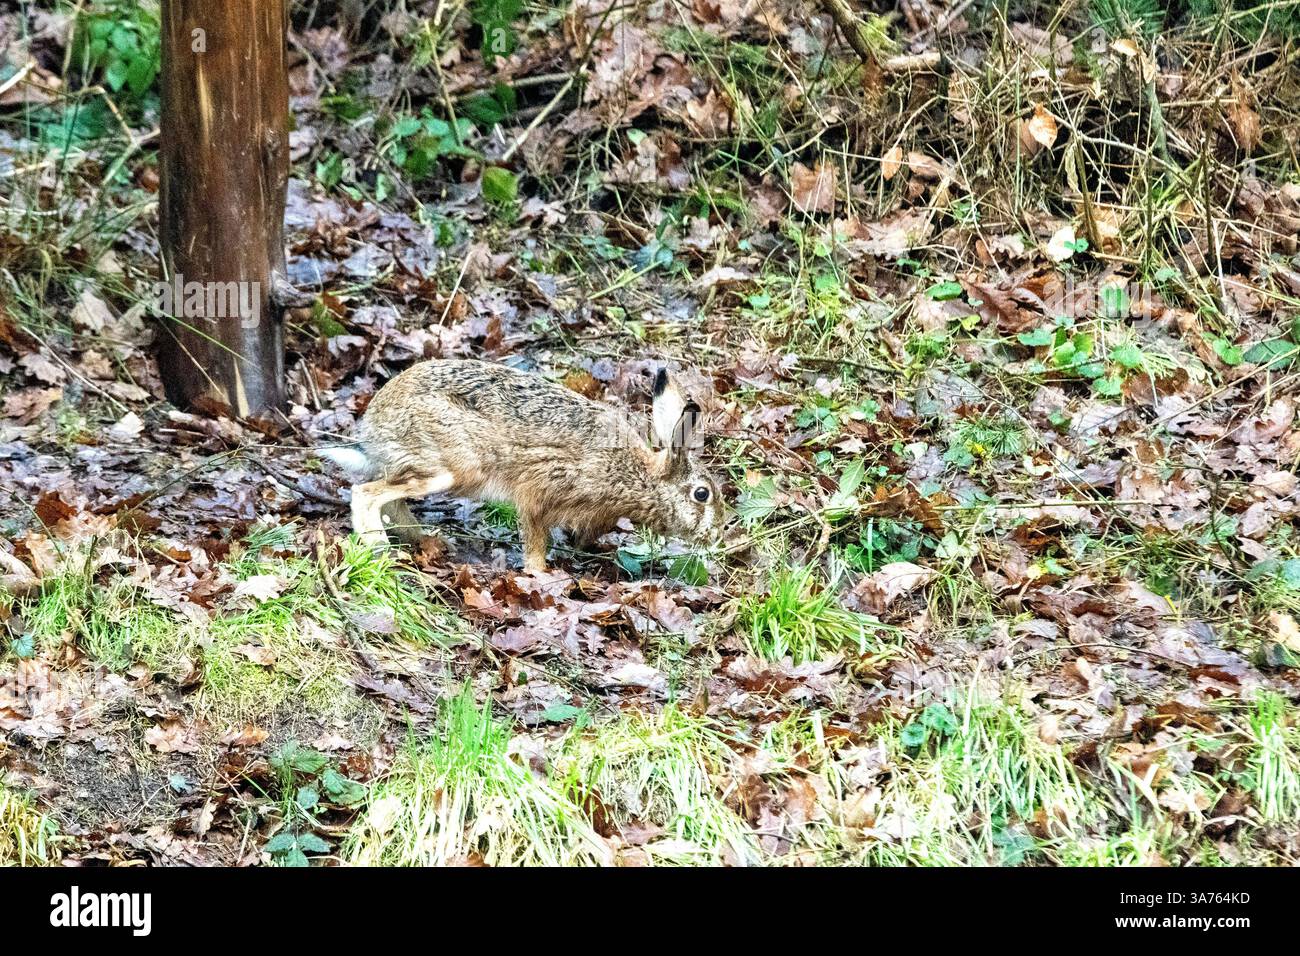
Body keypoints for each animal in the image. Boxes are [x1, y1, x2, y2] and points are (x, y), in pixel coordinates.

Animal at [320, 359, 724, 573]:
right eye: (701, 494)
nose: (718, 534)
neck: (639, 475)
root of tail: (374, 427)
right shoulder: (539, 490)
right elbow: (534, 538)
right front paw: (538, 573)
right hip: (451, 465)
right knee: (367, 493)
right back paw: (378, 547)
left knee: (392, 498)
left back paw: (431, 541)